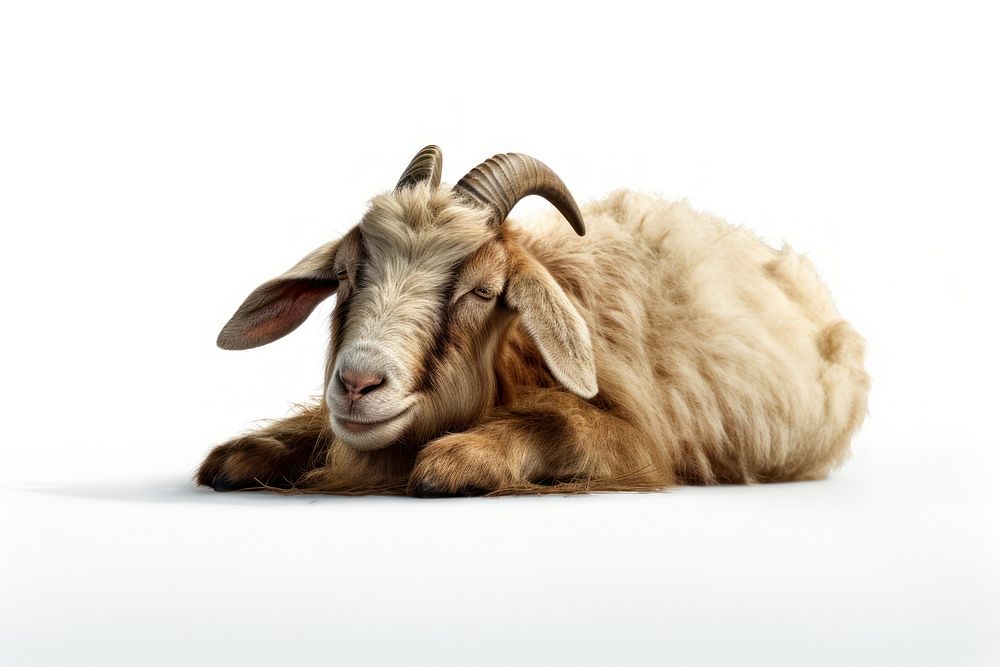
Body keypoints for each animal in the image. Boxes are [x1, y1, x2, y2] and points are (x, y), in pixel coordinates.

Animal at [196, 145, 870, 496]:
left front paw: (457, 460)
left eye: (484, 290)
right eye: (342, 275)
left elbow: (563, 425)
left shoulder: (642, 445)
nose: (359, 384)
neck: (516, 358)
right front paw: (247, 453)